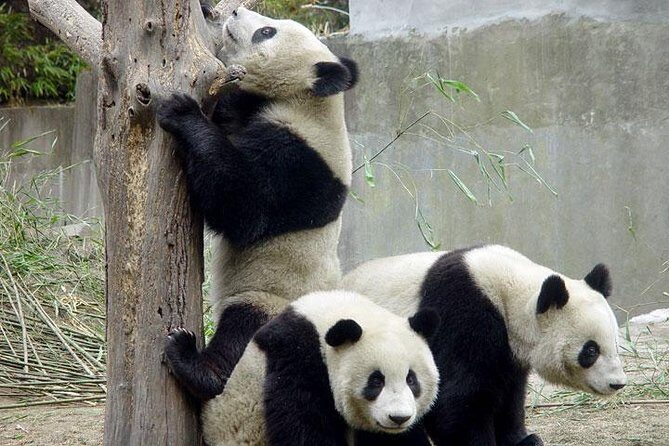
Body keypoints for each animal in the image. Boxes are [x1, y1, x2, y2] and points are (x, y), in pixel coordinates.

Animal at [157, 6, 358, 400]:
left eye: (267, 32)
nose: (234, 11)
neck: (307, 100)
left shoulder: (300, 160)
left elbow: (245, 209)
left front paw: (181, 112)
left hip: (271, 298)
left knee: (243, 331)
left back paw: (196, 365)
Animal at [342, 244, 628, 446]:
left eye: (615, 343)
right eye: (590, 350)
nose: (617, 383)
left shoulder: (510, 353)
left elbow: (510, 396)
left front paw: (524, 441)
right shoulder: (460, 314)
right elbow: (456, 400)